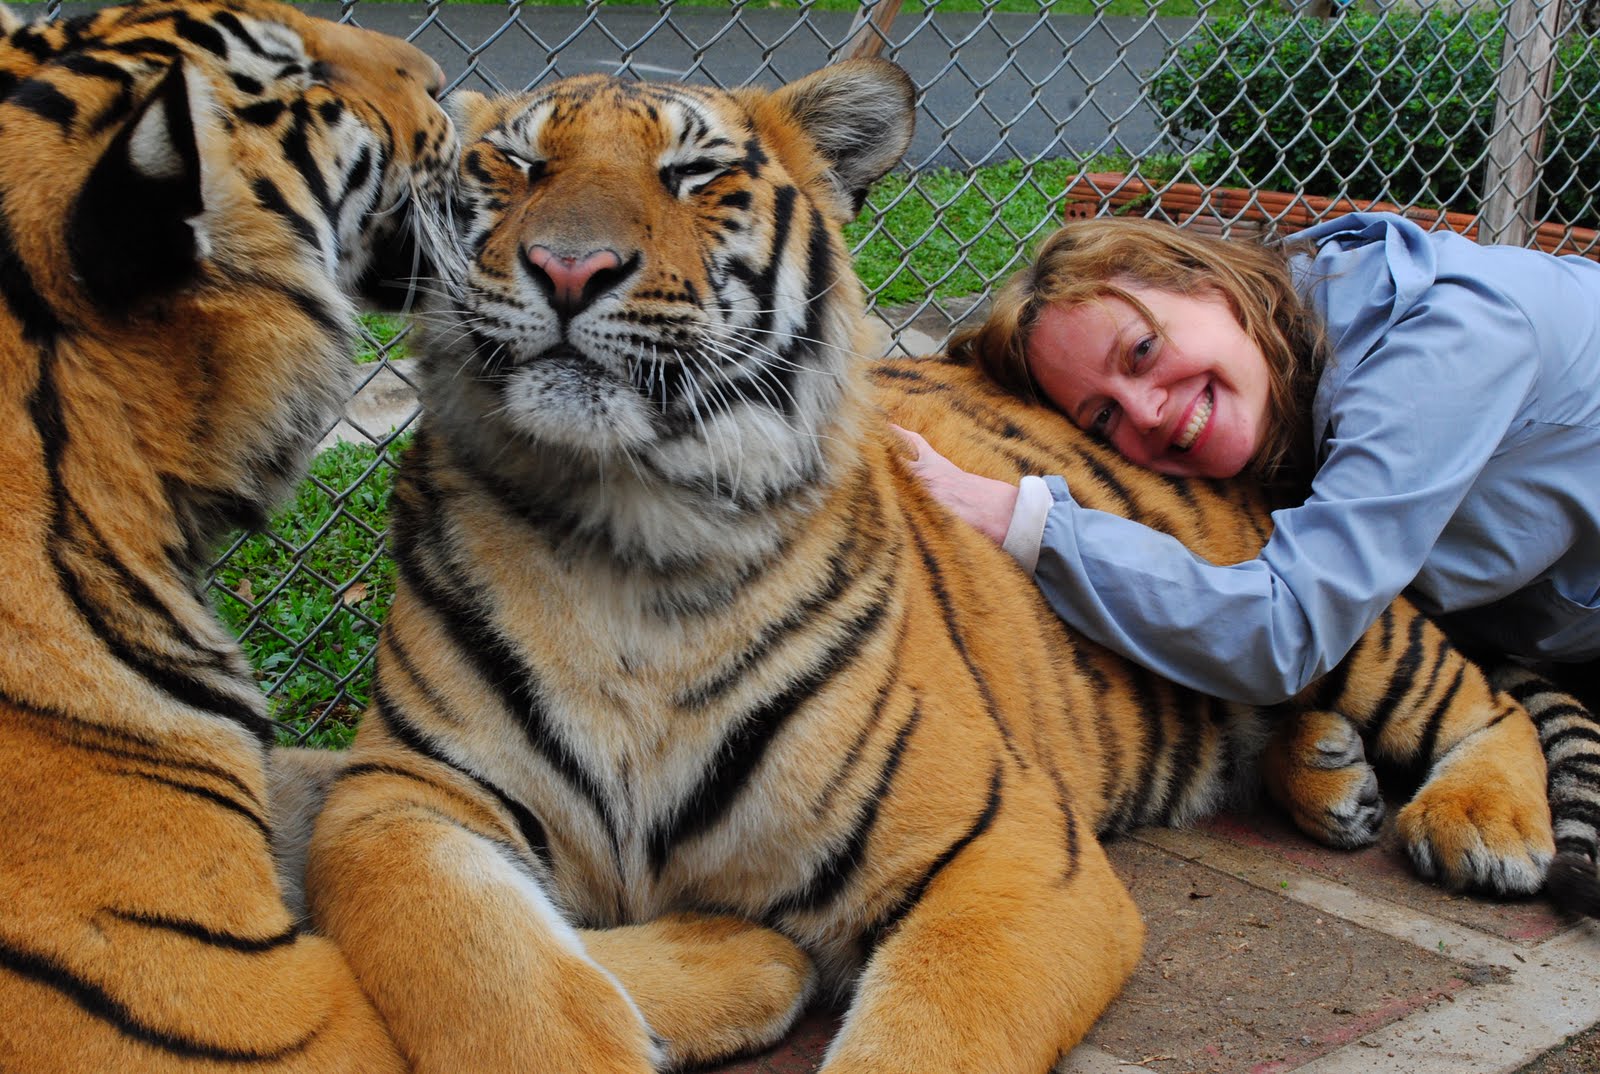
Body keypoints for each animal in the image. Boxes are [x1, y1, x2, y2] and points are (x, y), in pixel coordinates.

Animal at [301, 59, 1559, 1074]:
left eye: (693, 175)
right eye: (514, 165)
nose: (569, 268)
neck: (625, 528)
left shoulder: (1008, 849)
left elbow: (929, 1034)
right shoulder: (397, 798)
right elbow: (494, 982)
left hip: (1339, 601)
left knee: (1478, 698)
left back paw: (1481, 827)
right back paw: (1330, 775)